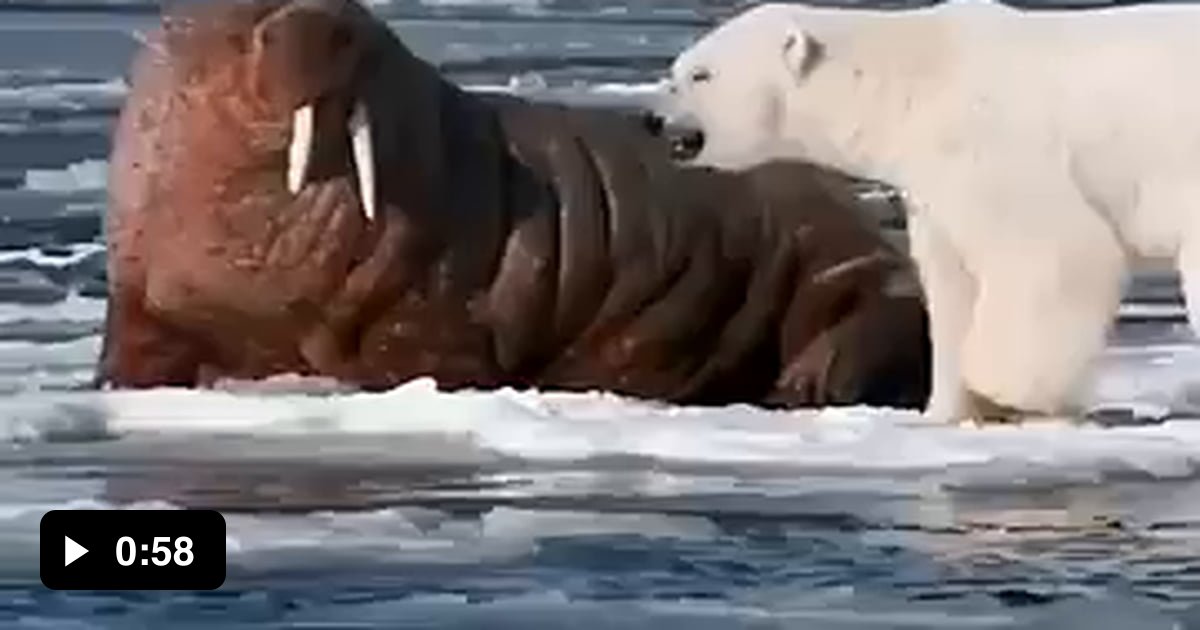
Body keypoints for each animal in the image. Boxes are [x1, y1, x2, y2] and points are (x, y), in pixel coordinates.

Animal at [655, 0, 1200, 423]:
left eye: (700, 74)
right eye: (676, 72)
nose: (655, 121)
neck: (918, 81)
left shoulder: (990, 144)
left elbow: (1053, 253)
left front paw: (1000, 384)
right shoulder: (934, 186)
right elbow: (952, 283)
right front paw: (947, 407)